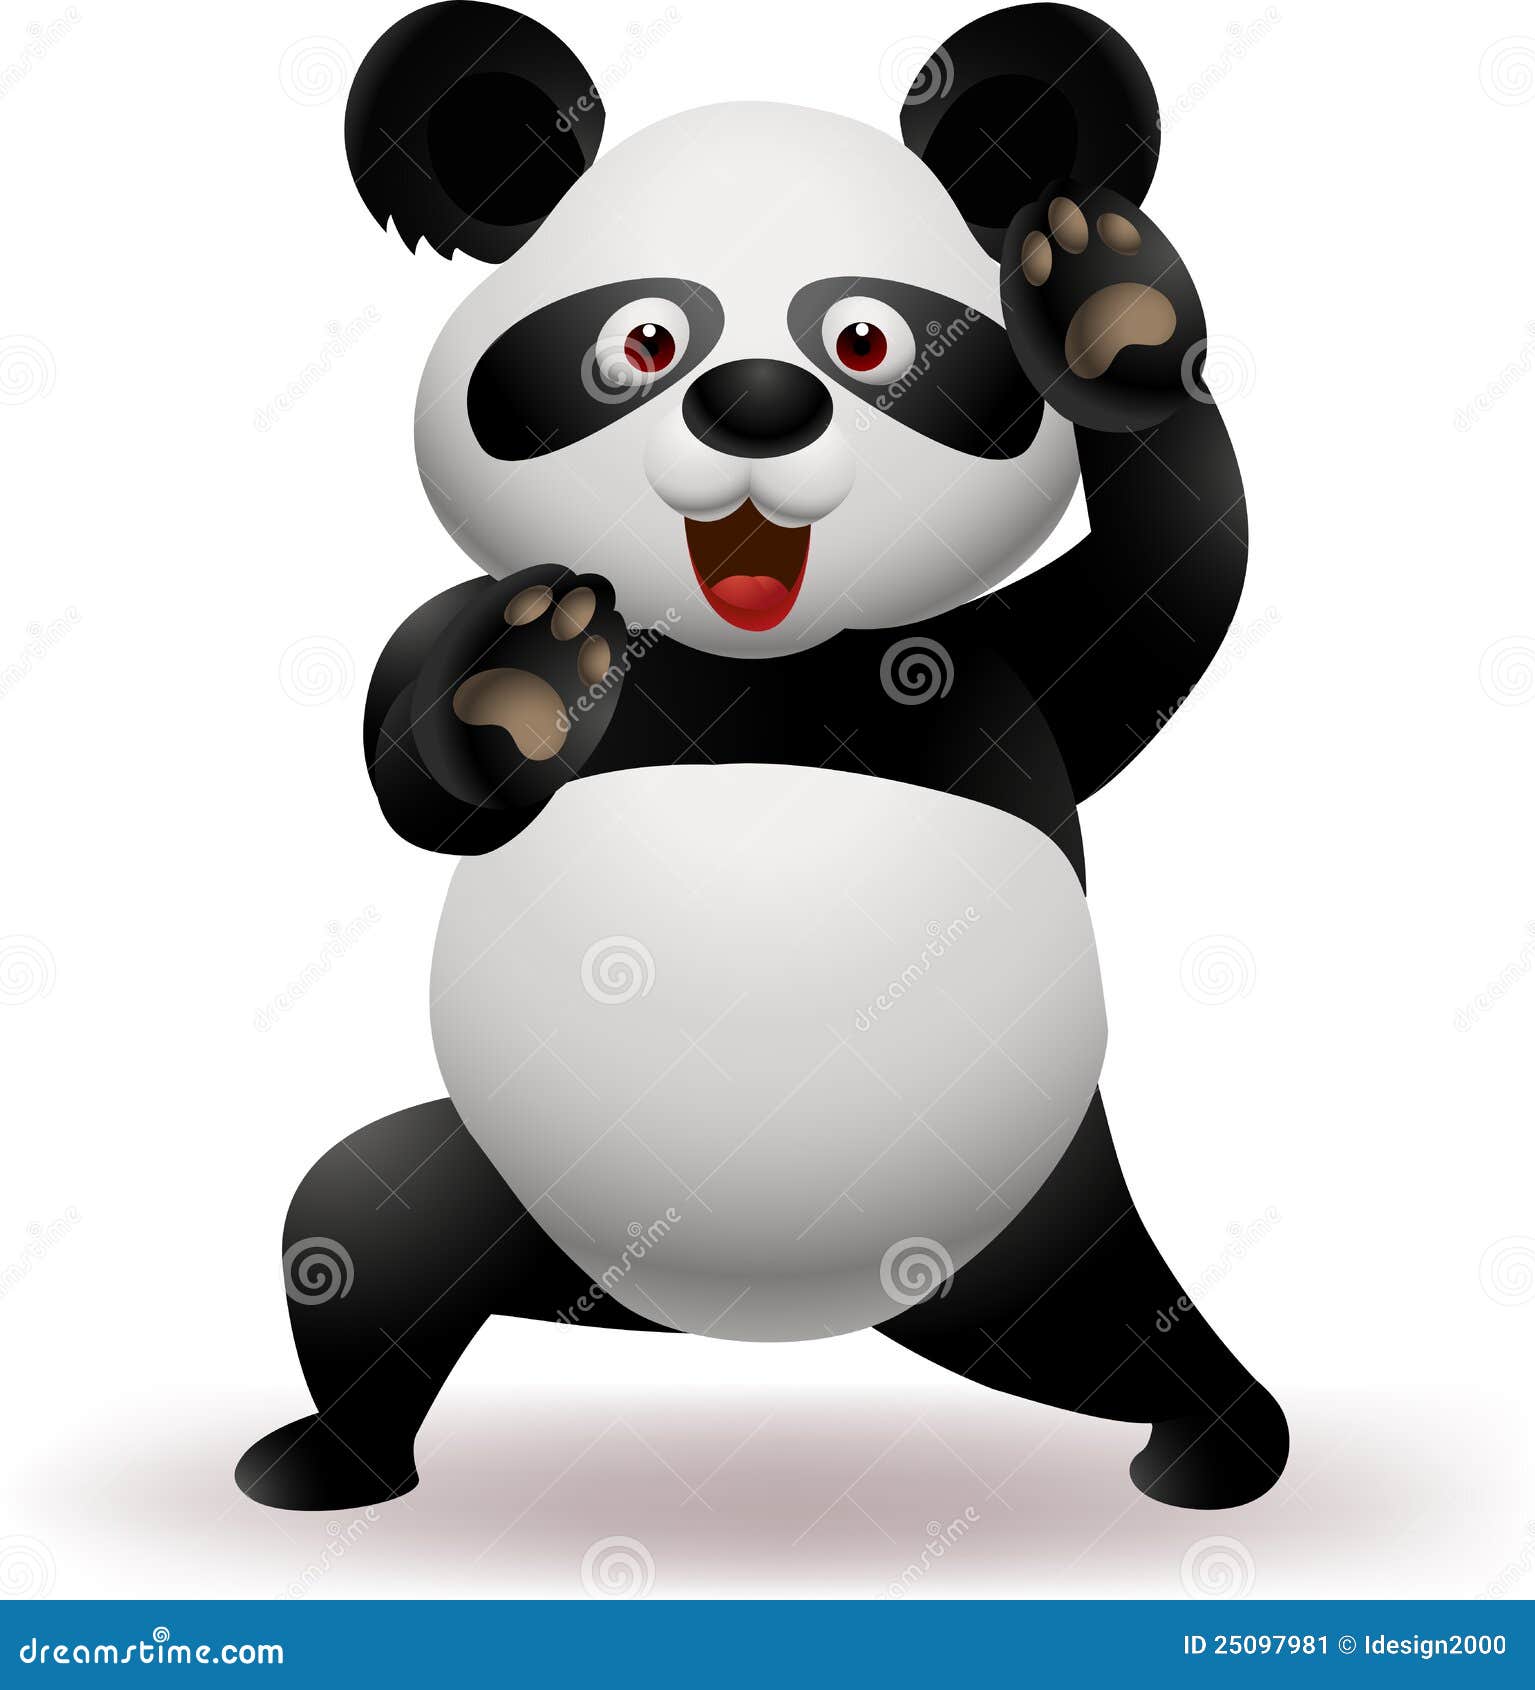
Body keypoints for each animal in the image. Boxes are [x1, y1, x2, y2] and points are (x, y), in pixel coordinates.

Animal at [237, 1, 1288, 1514]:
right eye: (642, 338)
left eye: (863, 338)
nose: (751, 403)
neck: (756, 666)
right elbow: (412, 775)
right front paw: (522, 684)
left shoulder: (994, 672)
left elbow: (1173, 587)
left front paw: (1107, 310)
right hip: (506, 1194)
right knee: (359, 1239)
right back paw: (327, 1458)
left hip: (1036, 1211)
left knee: (1125, 1321)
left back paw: (1214, 1445)